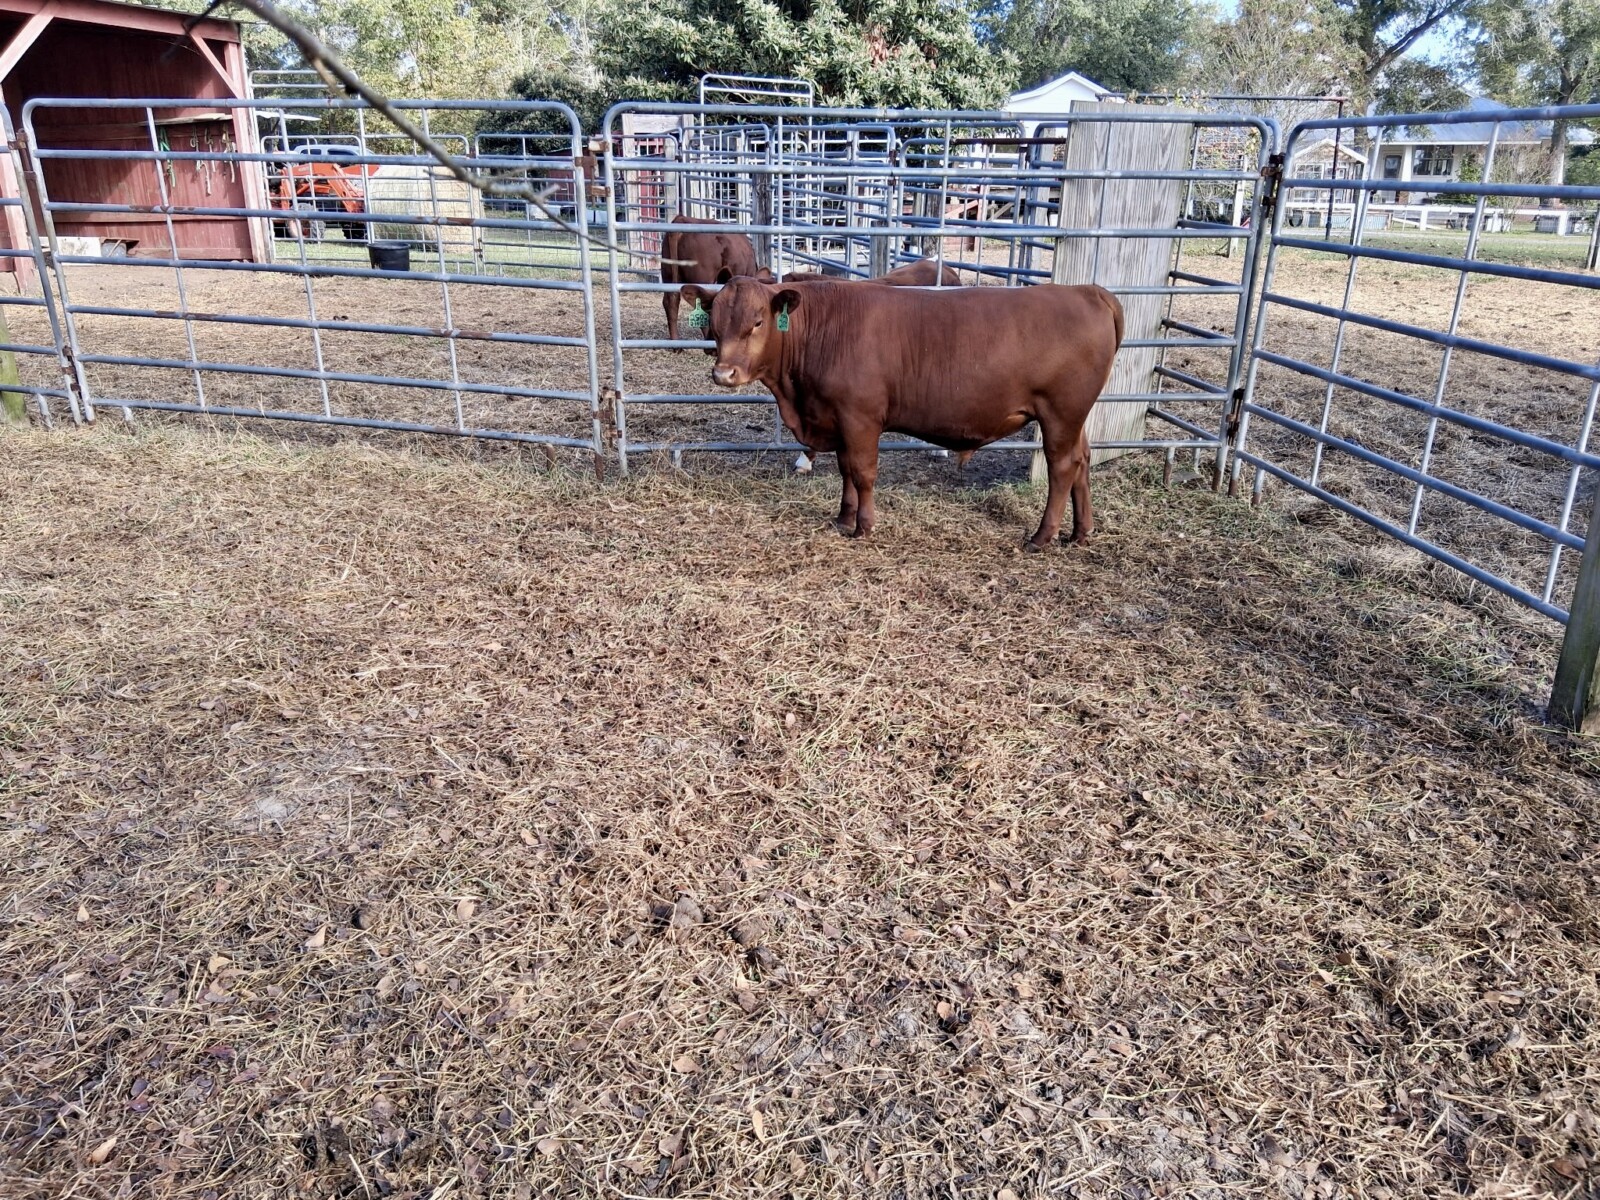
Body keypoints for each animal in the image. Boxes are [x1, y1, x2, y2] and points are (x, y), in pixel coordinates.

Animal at [678, 276, 1123, 550]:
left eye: (757, 322)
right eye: (714, 323)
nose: (724, 373)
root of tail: (1088, 291)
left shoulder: (860, 417)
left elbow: (863, 471)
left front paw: (865, 525)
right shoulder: (838, 418)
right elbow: (845, 470)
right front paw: (844, 519)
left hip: (1060, 412)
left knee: (1062, 467)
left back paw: (1042, 537)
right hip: (1075, 417)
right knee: (1082, 461)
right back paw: (1080, 533)